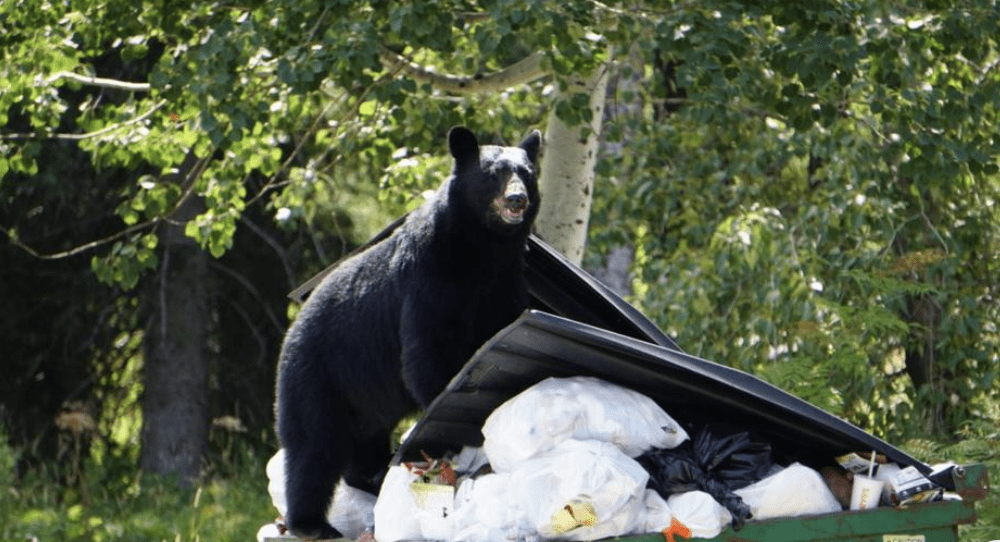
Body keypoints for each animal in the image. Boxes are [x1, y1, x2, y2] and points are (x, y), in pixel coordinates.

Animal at [275, 126, 541, 540]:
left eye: (527, 172)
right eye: (493, 173)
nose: (517, 198)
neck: (482, 250)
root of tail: (293, 325)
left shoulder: (505, 281)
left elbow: (504, 327)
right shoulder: (430, 277)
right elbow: (429, 349)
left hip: (363, 392)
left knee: (363, 438)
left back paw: (373, 476)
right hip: (319, 374)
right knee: (314, 445)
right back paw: (312, 523)